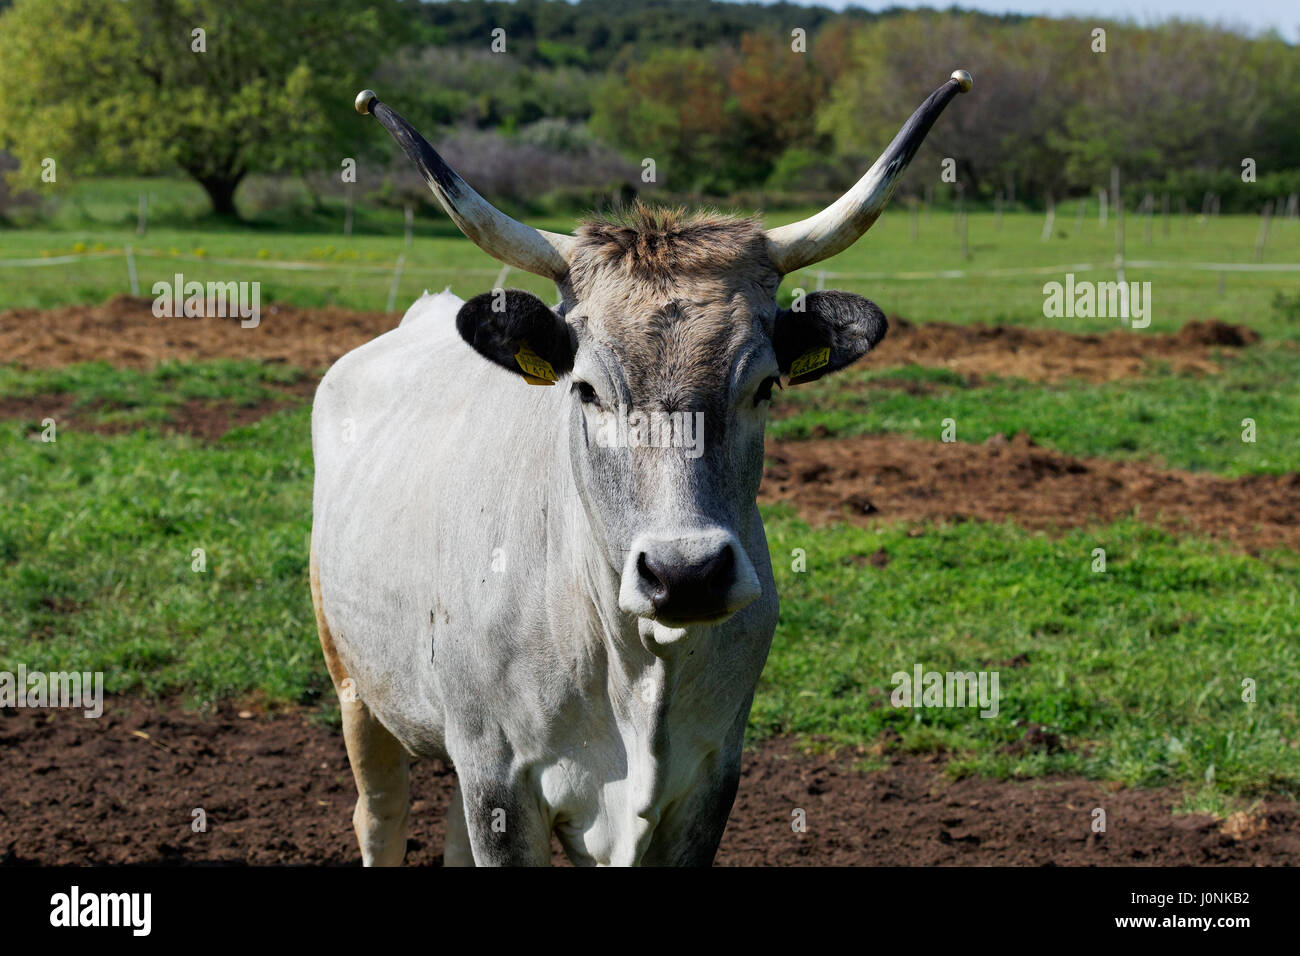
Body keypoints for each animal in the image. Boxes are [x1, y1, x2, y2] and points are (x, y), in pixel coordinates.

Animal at [309, 70, 971, 866]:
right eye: (586, 389)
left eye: (765, 386)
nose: (687, 573)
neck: (640, 665)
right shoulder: (498, 777)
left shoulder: (709, 779)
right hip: (354, 681)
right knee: (378, 815)